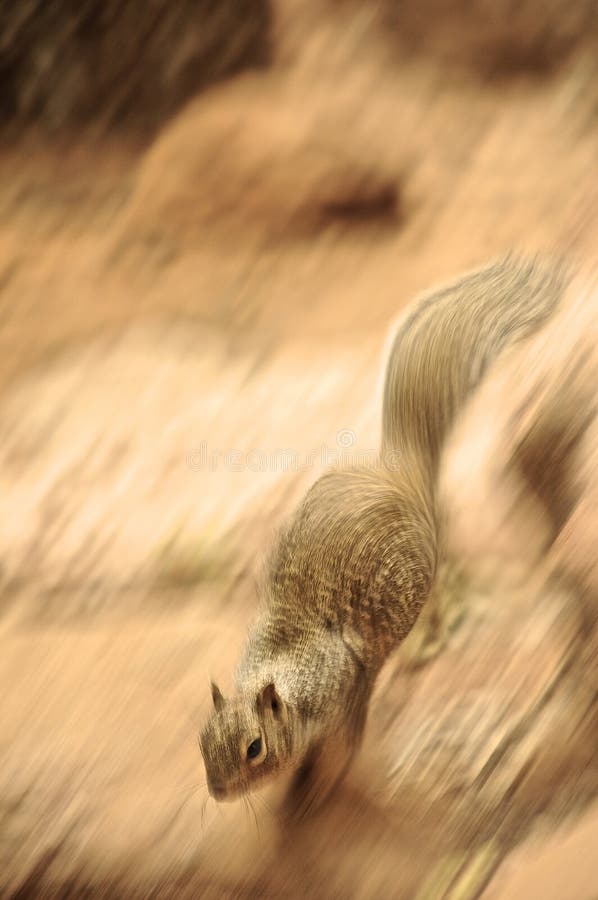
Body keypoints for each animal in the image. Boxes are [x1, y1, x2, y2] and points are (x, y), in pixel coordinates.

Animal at [199, 255, 567, 818]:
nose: (218, 793)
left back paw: (430, 641)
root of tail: (400, 468)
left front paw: (313, 794)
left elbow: (341, 753)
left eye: (254, 748)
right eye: (201, 744)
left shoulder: (349, 698)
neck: (287, 662)